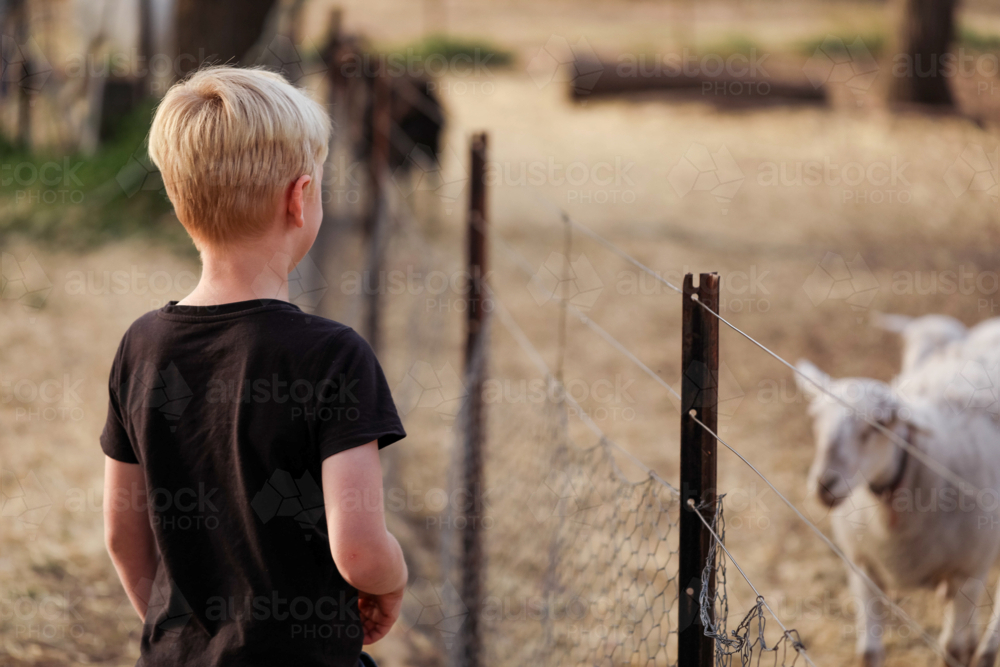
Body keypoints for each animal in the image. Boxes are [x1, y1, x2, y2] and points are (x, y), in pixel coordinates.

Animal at [796, 357, 1000, 667]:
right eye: (816, 417)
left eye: (880, 423)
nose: (824, 484)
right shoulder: (862, 565)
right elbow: (869, 652)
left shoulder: (969, 571)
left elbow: (952, 650)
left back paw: (986, 651)